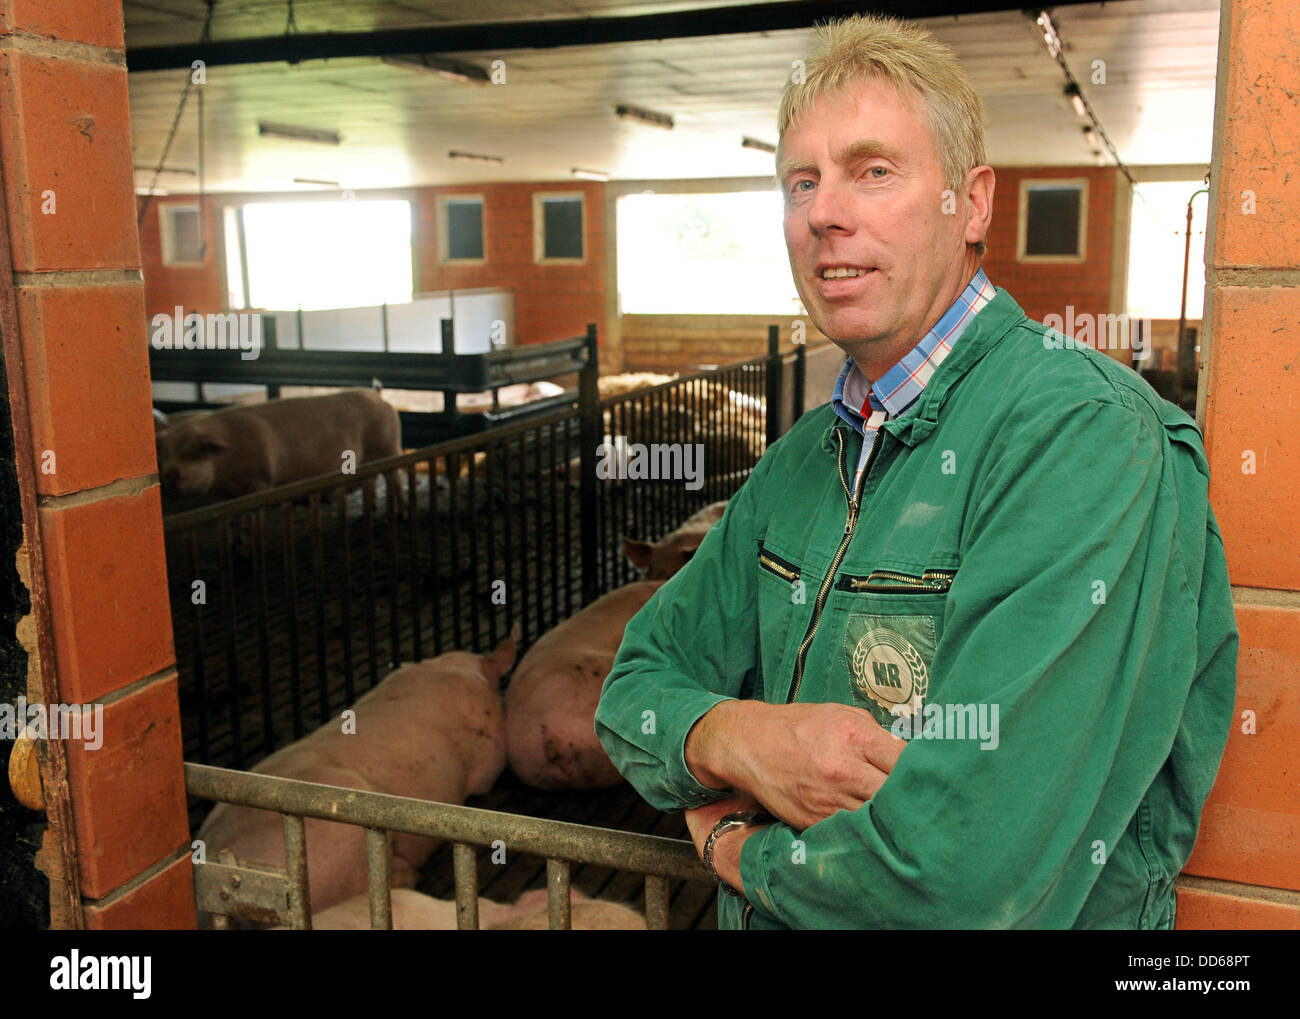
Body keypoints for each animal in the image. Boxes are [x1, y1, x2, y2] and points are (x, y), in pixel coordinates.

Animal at [155, 389, 406, 514]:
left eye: (190, 453)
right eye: (164, 454)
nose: (170, 473)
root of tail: (380, 399)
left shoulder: (259, 484)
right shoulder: (225, 497)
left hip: (388, 450)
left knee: (393, 478)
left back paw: (397, 511)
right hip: (369, 460)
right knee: (371, 480)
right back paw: (372, 509)